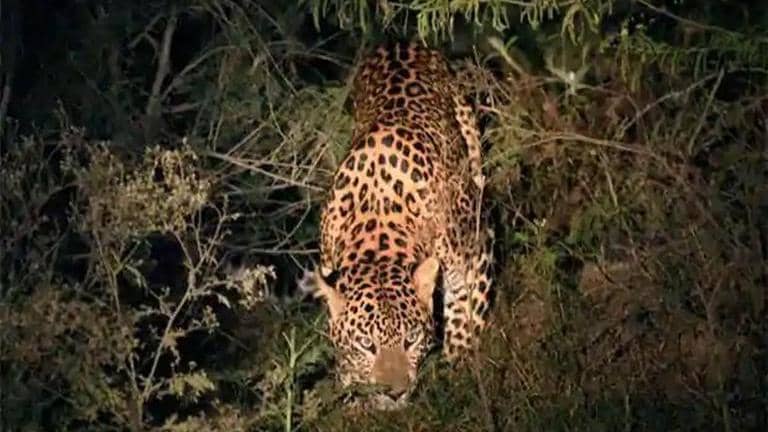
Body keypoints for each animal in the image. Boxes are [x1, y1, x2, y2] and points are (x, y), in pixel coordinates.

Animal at [300, 41, 494, 410]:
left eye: (411, 338)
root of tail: (398, 43)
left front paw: (460, 363)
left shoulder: (479, 244)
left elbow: (467, 314)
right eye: (366, 344)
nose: (394, 392)